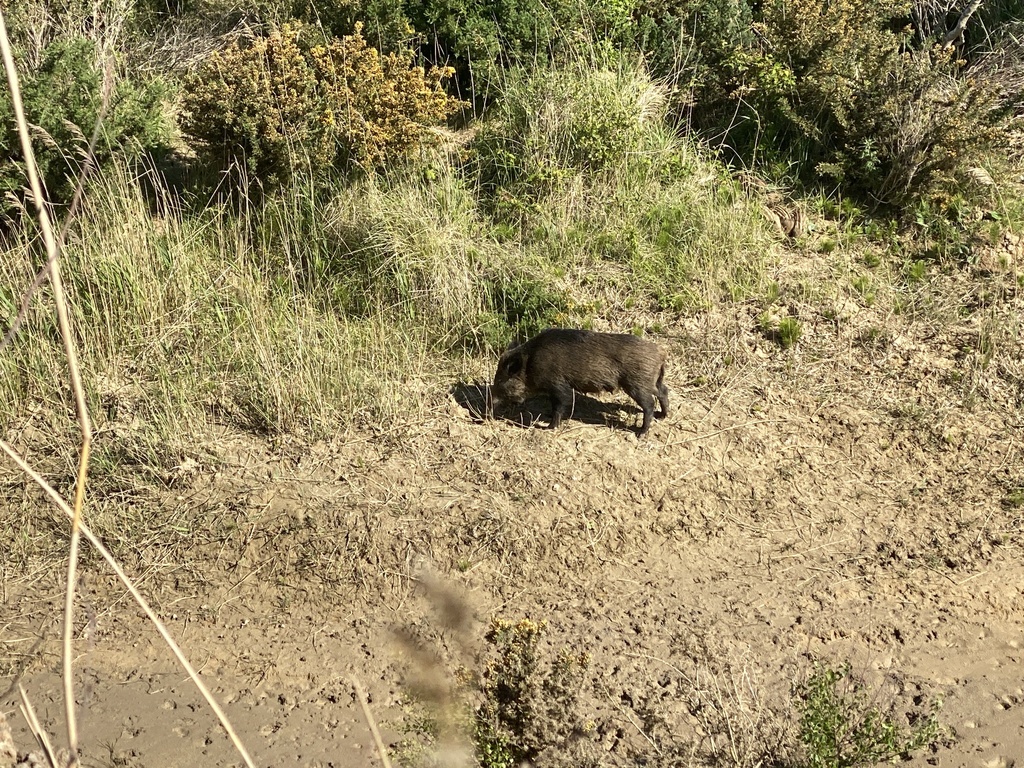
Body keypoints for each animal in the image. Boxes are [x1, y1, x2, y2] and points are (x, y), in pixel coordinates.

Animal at [490, 328, 669, 436]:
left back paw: (641, 433)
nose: (491, 404)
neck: (530, 365)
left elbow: (559, 406)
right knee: (664, 391)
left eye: (500, 379)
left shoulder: (558, 385)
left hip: (637, 384)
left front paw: (550, 427)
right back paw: (662, 416)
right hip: (651, 382)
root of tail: (661, 352)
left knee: (649, 404)